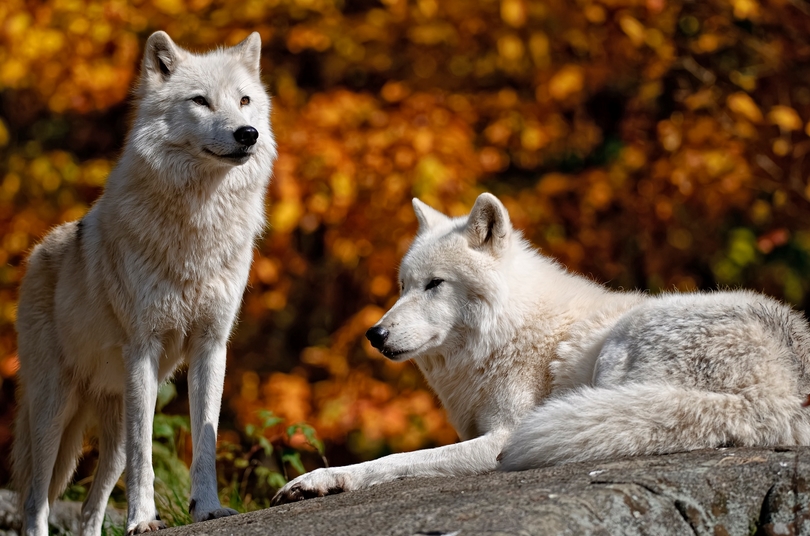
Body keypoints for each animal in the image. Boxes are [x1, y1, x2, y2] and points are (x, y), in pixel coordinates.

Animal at [13, 31, 276, 535]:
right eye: (201, 101)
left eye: (244, 101)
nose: (246, 133)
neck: (197, 227)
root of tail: (36, 251)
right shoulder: (143, 348)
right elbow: (145, 455)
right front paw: (140, 520)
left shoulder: (211, 346)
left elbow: (206, 441)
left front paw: (207, 509)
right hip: (54, 413)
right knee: (36, 500)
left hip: (112, 425)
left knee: (90, 508)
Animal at [272, 192, 810, 503]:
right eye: (403, 286)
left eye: (435, 284)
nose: (375, 334)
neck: (506, 332)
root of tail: (779, 395)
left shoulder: (501, 436)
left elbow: (396, 461)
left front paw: (323, 479)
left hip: (619, 349)